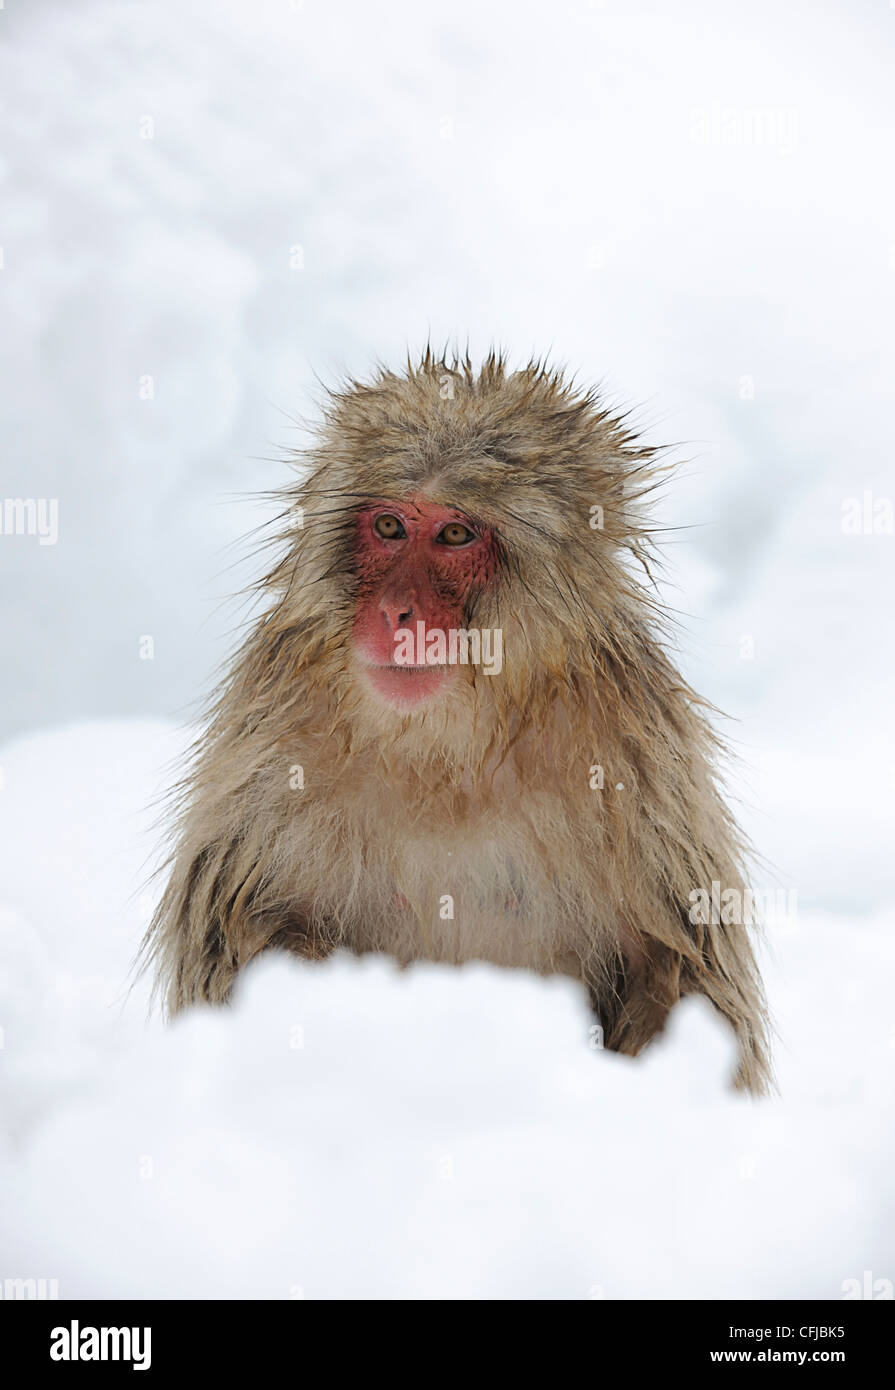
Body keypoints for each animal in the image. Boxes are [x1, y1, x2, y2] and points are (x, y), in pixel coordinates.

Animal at [145, 350, 771, 1093]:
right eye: (389, 527)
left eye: (453, 534)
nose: (397, 611)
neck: (448, 747)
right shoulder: (264, 750)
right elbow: (230, 945)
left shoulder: (644, 766)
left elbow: (686, 970)